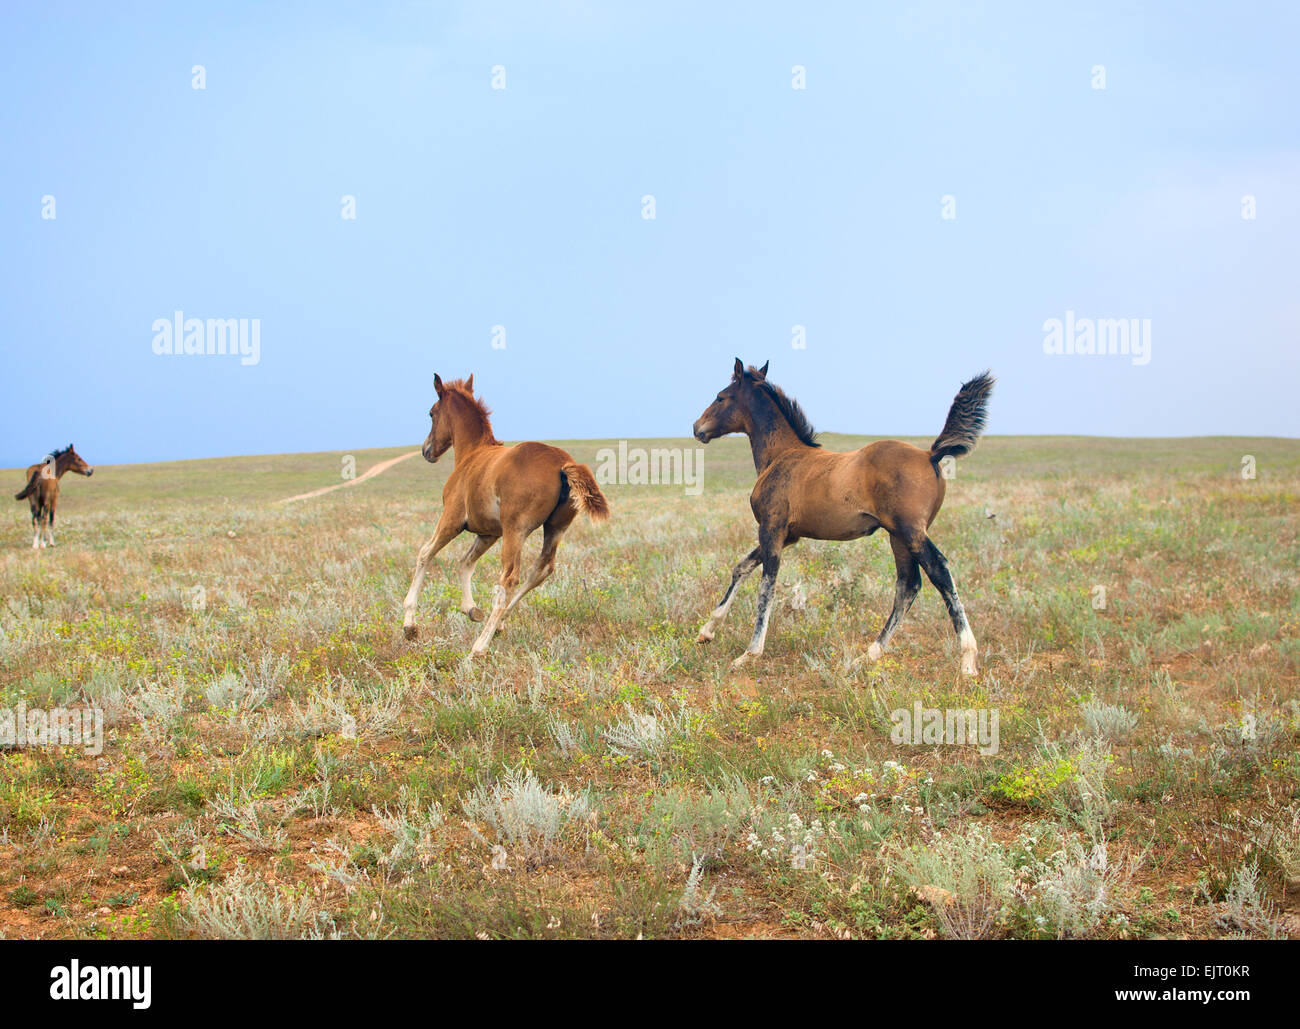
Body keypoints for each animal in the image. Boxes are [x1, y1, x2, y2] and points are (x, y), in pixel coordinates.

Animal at [401, 374, 610, 656]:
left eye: (431, 413)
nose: (426, 450)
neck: (472, 455)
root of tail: (563, 465)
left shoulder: (452, 519)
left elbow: (425, 553)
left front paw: (410, 625)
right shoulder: (488, 532)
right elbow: (465, 562)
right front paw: (472, 609)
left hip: (516, 530)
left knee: (510, 578)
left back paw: (479, 647)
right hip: (555, 527)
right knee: (542, 568)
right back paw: (498, 625)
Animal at [691, 359, 993, 674]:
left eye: (720, 397)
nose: (697, 428)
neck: (780, 456)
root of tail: (930, 454)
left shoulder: (772, 529)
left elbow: (766, 586)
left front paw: (750, 653)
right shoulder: (789, 536)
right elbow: (741, 567)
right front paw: (707, 631)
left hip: (911, 531)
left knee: (939, 572)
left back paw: (967, 658)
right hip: (898, 536)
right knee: (908, 586)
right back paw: (869, 654)